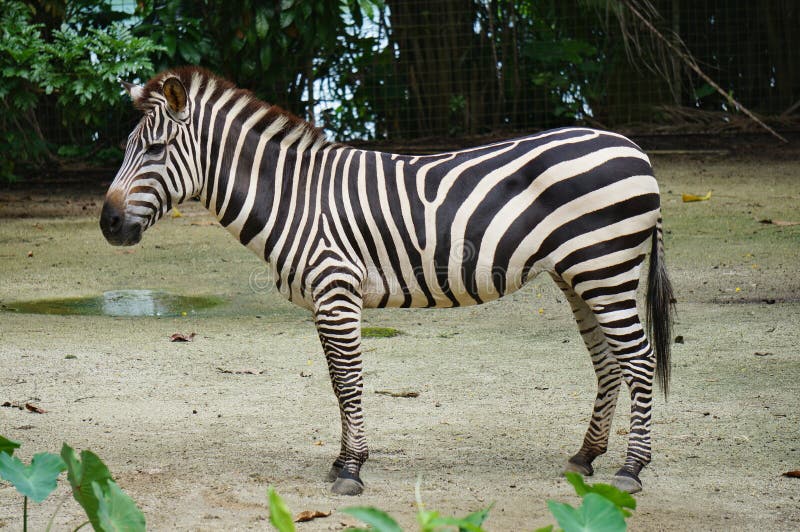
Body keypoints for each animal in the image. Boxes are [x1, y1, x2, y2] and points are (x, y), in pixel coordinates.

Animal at [101, 67, 674, 496]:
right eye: (128, 148)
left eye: (154, 150)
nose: (107, 224)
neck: (294, 196)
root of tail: (634, 148)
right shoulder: (326, 300)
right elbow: (337, 384)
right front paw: (342, 460)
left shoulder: (335, 290)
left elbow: (349, 381)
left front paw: (352, 470)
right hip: (576, 273)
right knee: (609, 362)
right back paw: (586, 456)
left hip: (605, 267)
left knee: (639, 359)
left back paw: (630, 470)